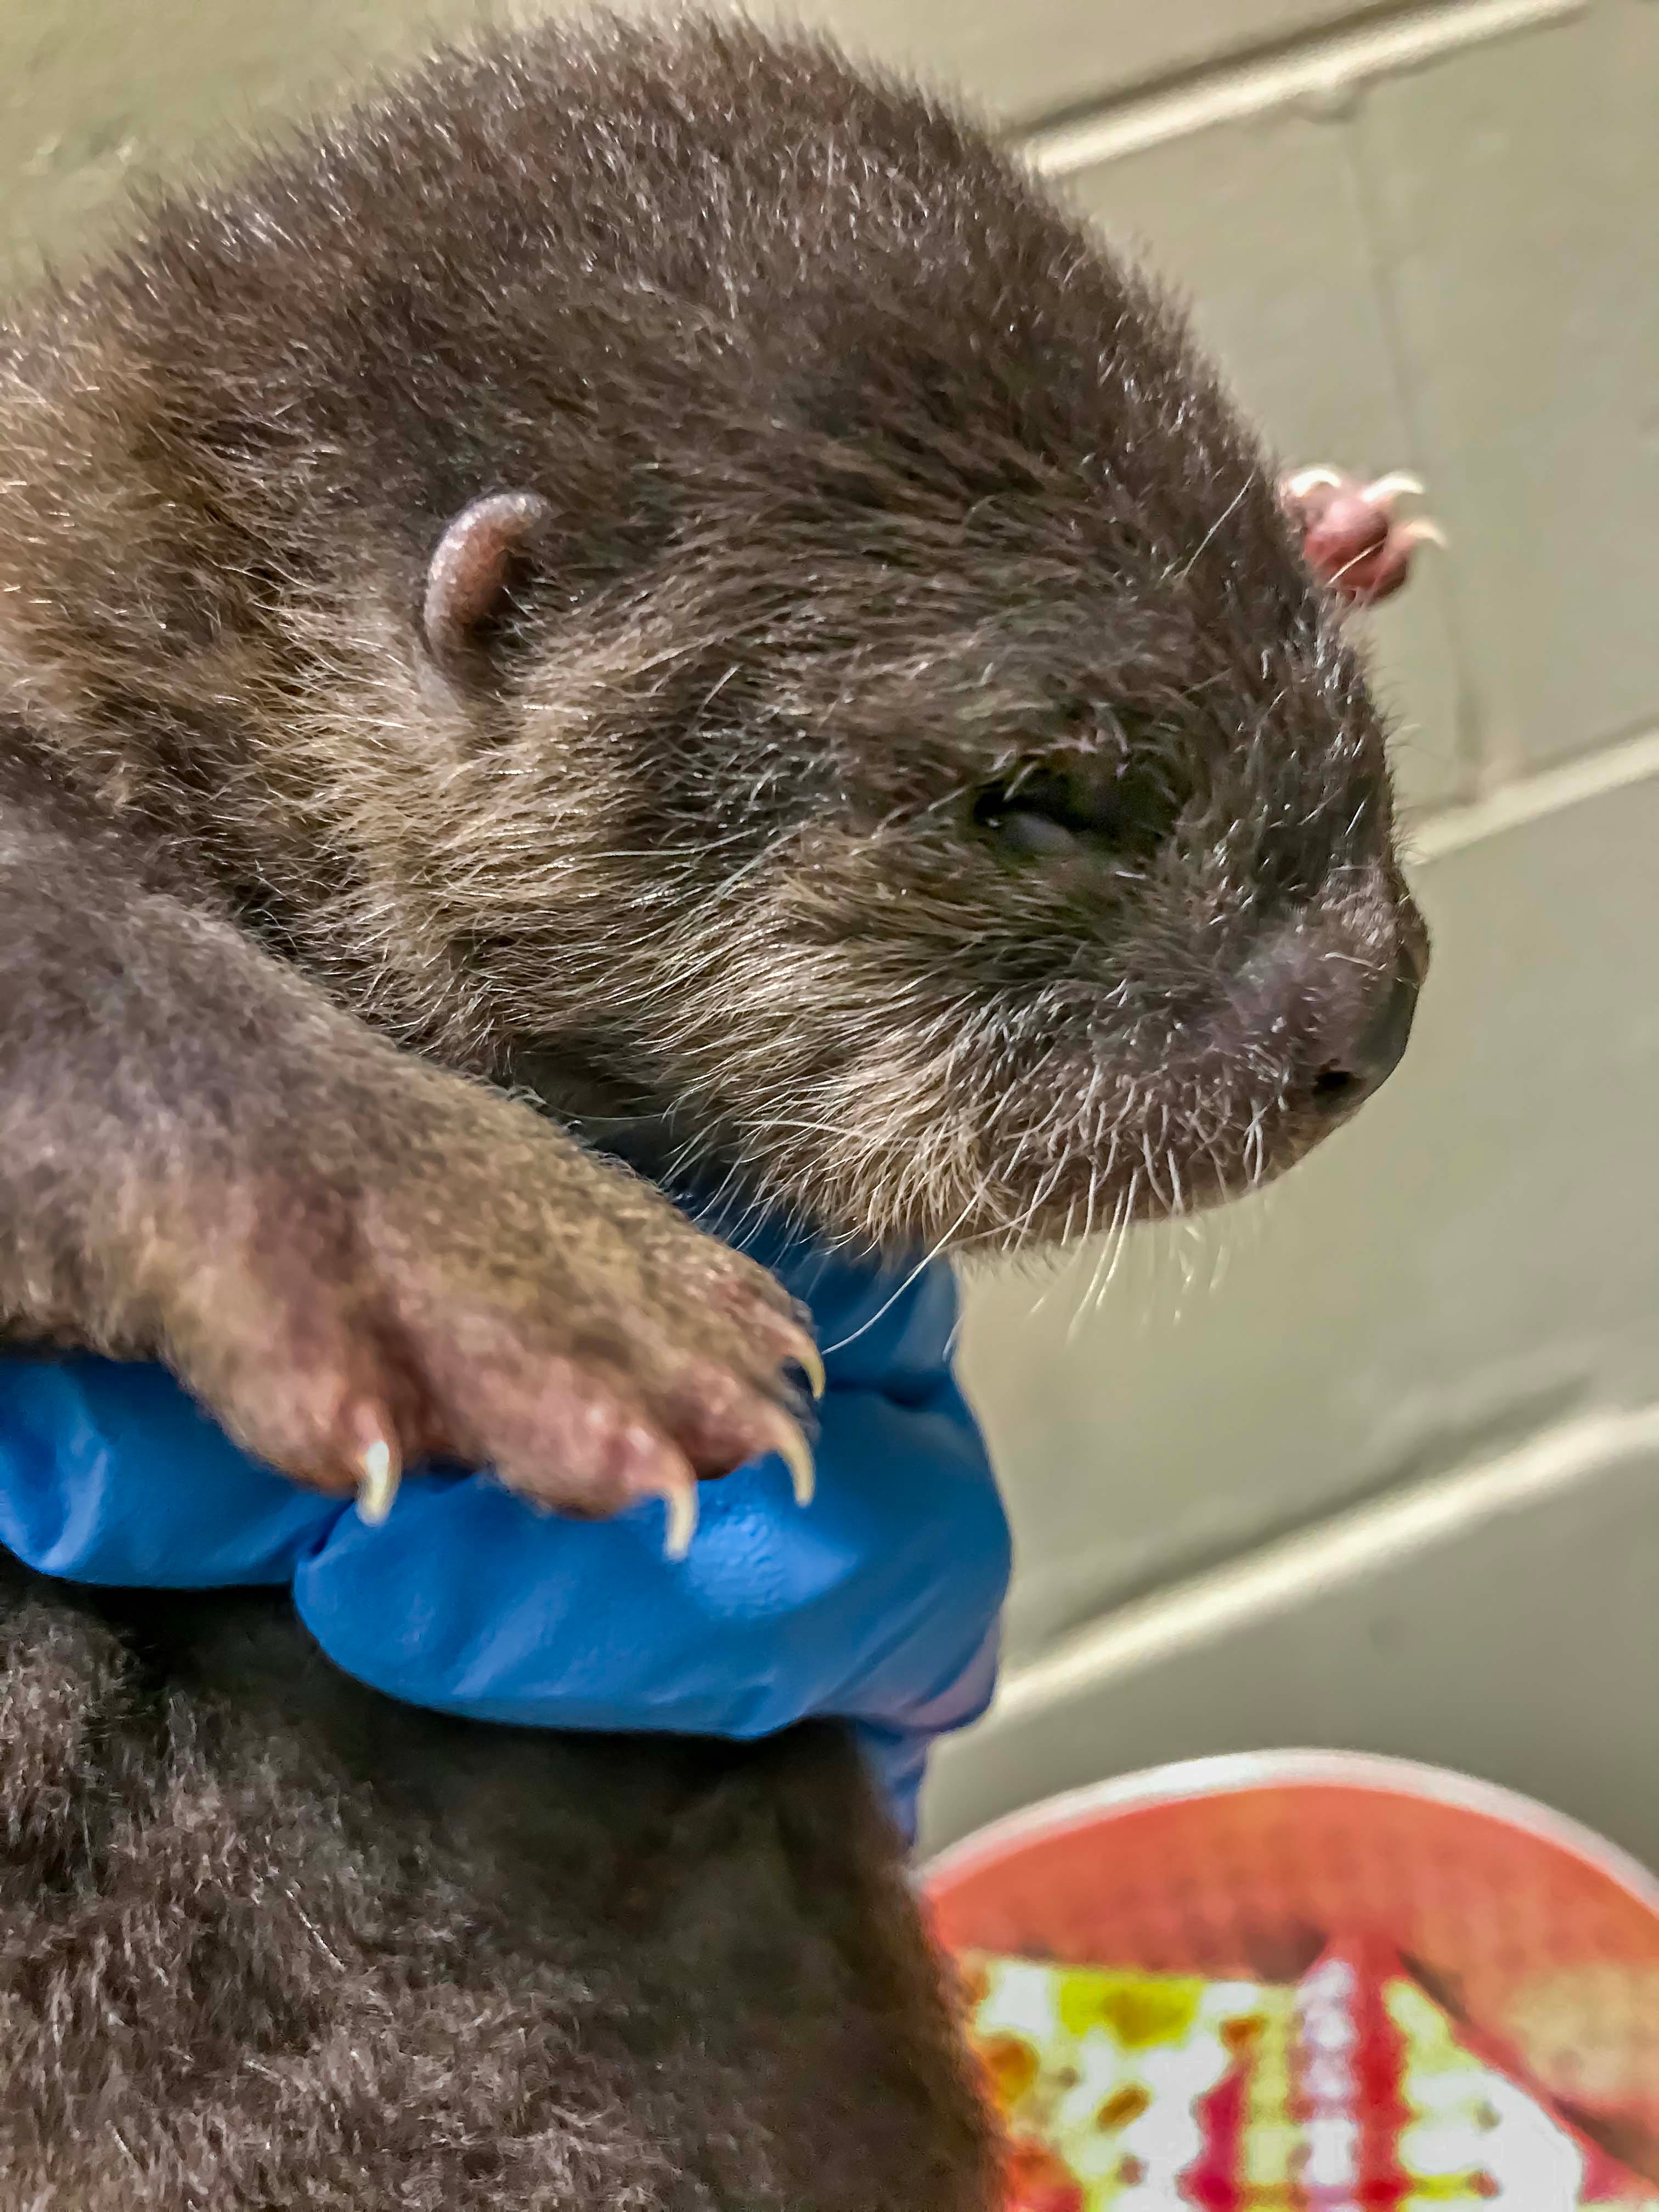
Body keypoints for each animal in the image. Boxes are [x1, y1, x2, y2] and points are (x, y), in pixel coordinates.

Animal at [0, 13, 1429, 2206]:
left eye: (1314, 655)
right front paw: (485, 1270)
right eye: (1042, 796)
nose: (1375, 992)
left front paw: (1345, 517)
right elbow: (70, 949)